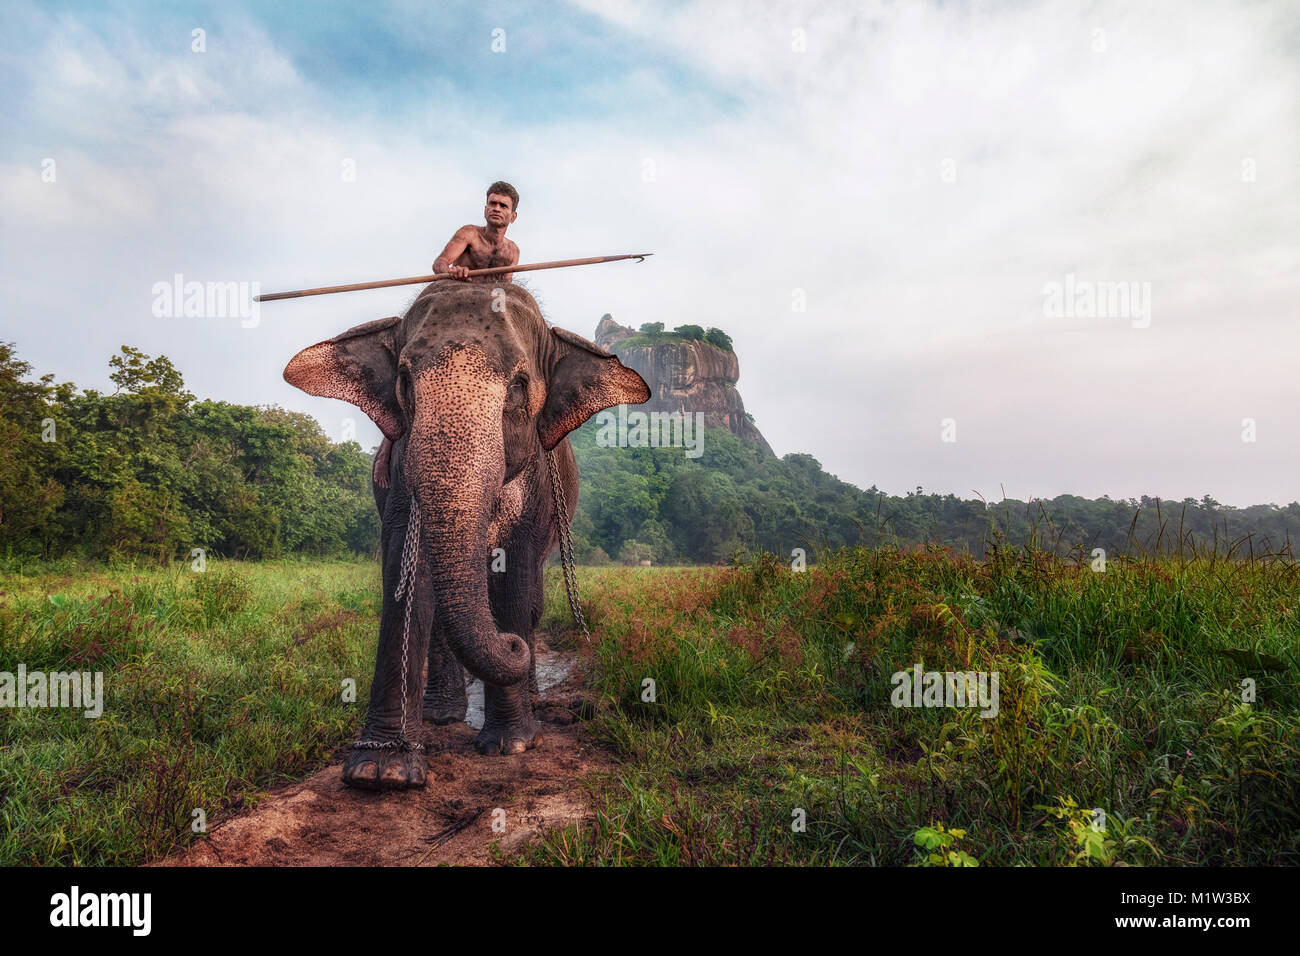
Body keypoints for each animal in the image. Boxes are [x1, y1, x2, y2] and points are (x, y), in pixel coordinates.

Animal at [283, 281, 650, 790]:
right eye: (404, 381)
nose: (512, 646)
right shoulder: (403, 463)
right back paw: (443, 714)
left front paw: (512, 744)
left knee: (530, 598)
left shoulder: (536, 480)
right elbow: (405, 575)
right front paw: (380, 771)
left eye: (518, 386)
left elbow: (514, 576)